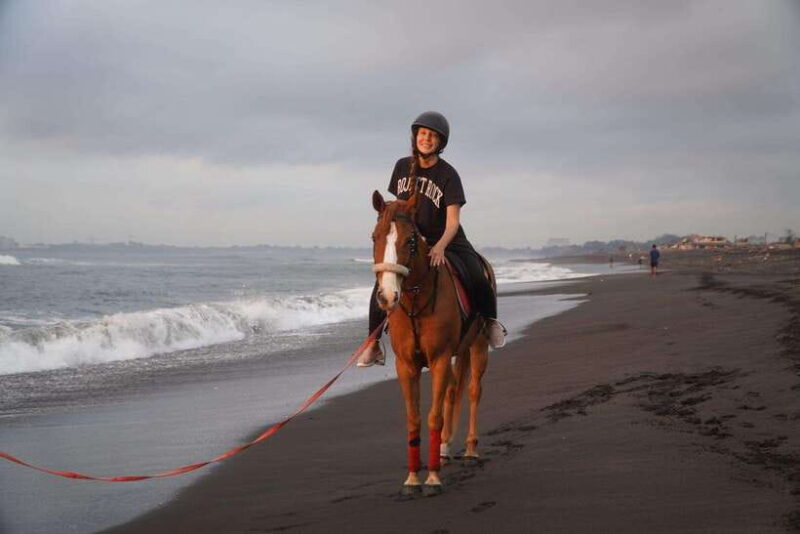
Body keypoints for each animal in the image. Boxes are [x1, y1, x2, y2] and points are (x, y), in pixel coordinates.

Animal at [370, 189, 491, 496]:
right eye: (374, 237)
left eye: (410, 240)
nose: (387, 297)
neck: (415, 298)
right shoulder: (406, 365)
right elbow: (414, 419)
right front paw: (413, 478)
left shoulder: (439, 360)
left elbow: (434, 416)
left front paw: (433, 478)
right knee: (453, 390)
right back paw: (445, 448)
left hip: (478, 347)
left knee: (473, 391)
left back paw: (470, 449)